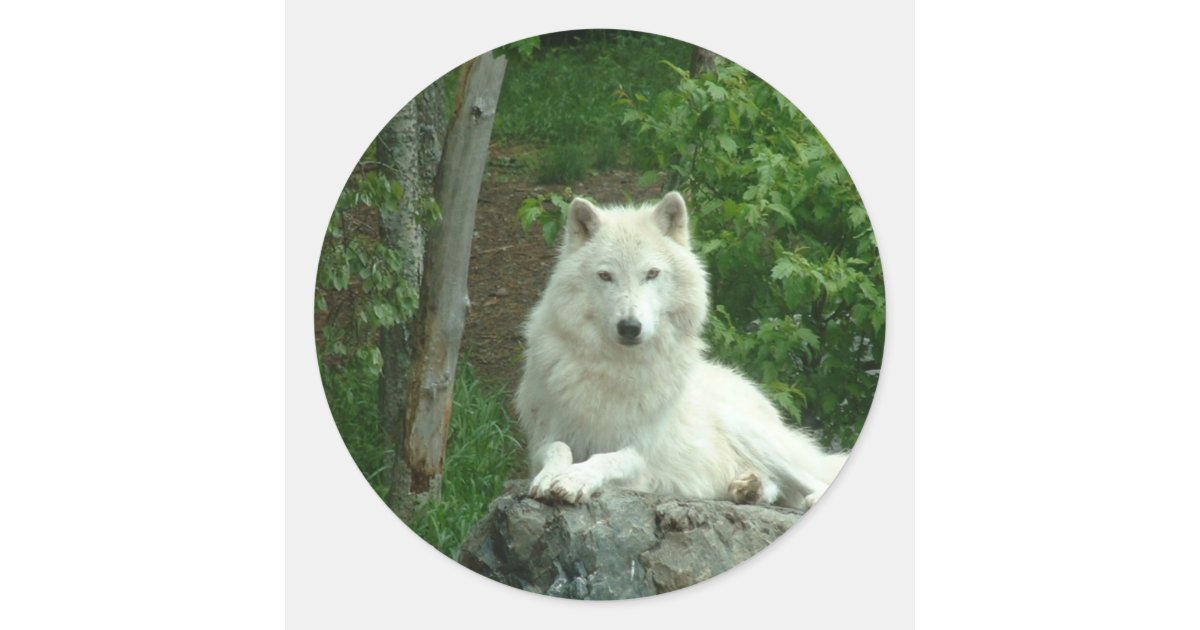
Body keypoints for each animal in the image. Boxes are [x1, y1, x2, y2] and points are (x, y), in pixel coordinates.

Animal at [515, 192, 848, 509]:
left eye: (651, 273)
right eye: (606, 276)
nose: (630, 326)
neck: (618, 369)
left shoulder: (642, 453)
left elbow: (605, 458)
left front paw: (574, 479)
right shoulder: (543, 438)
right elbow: (558, 449)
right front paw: (550, 477)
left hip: (748, 432)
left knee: (809, 481)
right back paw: (747, 488)